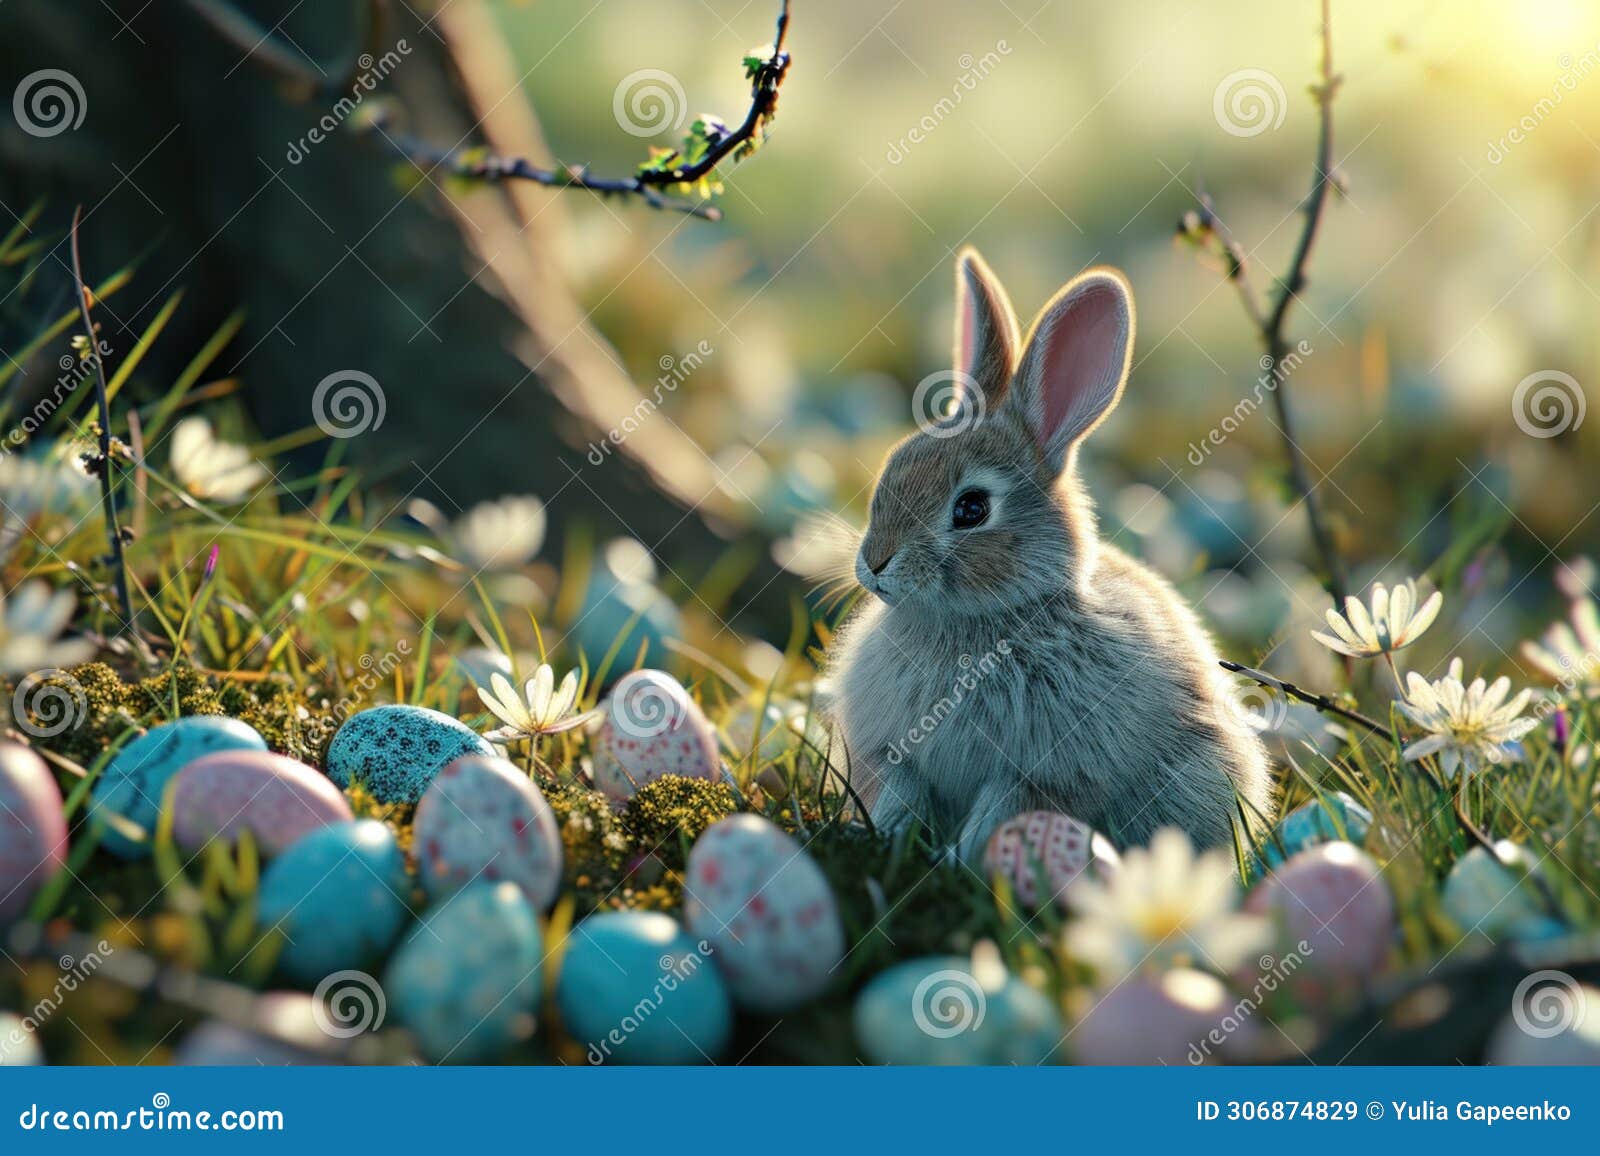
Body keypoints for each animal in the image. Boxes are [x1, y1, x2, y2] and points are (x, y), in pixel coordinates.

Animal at [827, 248, 1275, 861]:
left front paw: (957, 862)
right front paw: (886, 840)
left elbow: (999, 812)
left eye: (971, 509)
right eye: (893, 466)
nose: (874, 563)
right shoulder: (899, 758)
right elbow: (901, 794)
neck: (980, 620)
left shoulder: (1039, 774)